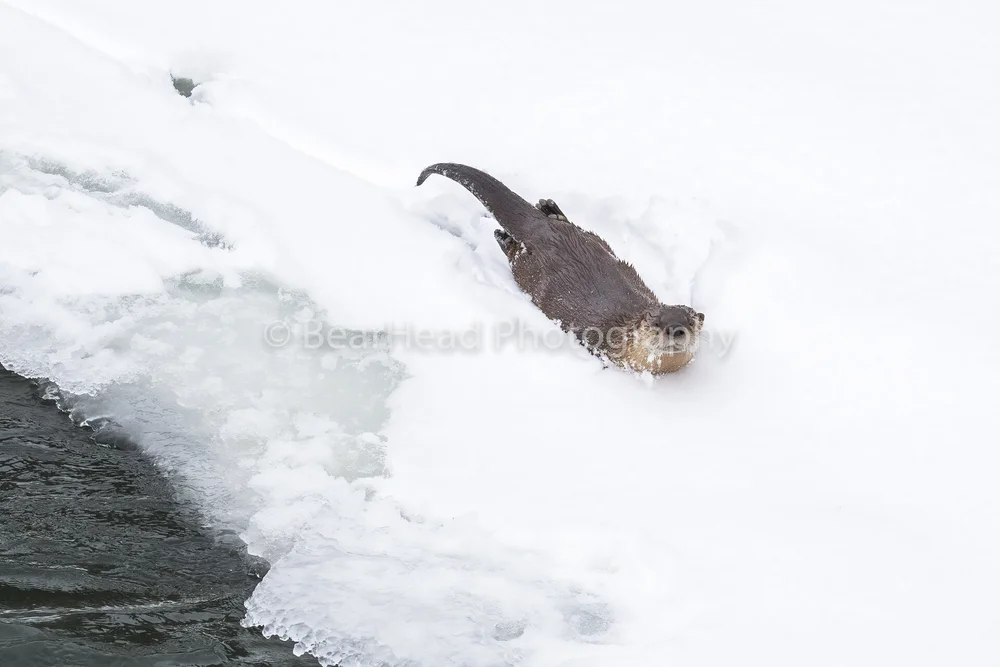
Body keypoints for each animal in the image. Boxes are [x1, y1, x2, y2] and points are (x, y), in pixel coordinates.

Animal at [416, 163, 705, 374]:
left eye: (689, 321)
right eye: (656, 322)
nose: (676, 329)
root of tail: (542, 231)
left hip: (593, 239)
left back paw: (550, 209)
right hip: (529, 270)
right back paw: (510, 235)